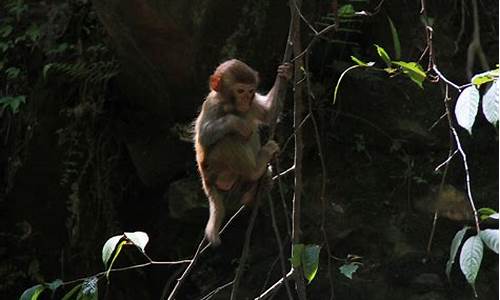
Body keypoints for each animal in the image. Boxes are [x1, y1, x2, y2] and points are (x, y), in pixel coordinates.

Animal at [193, 59, 292, 246]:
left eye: (250, 91)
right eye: (240, 91)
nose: (246, 99)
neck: (232, 106)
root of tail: (207, 182)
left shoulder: (251, 105)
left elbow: (269, 114)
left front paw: (286, 73)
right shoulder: (212, 104)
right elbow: (204, 137)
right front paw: (237, 122)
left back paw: (255, 188)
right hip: (215, 169)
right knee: (228, 140)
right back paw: (256, 167)